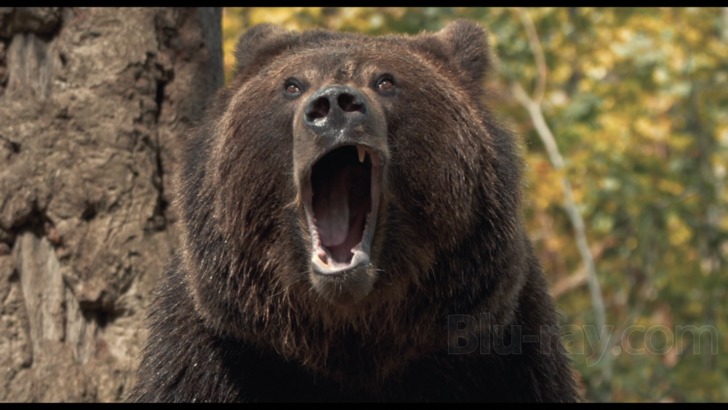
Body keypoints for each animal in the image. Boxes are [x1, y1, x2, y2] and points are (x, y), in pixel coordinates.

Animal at [127, 20, 580, 402]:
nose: (334, 105)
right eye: (292, 85)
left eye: (385, 80)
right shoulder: (214, 355)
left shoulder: (504, 357)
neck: (352, 336)